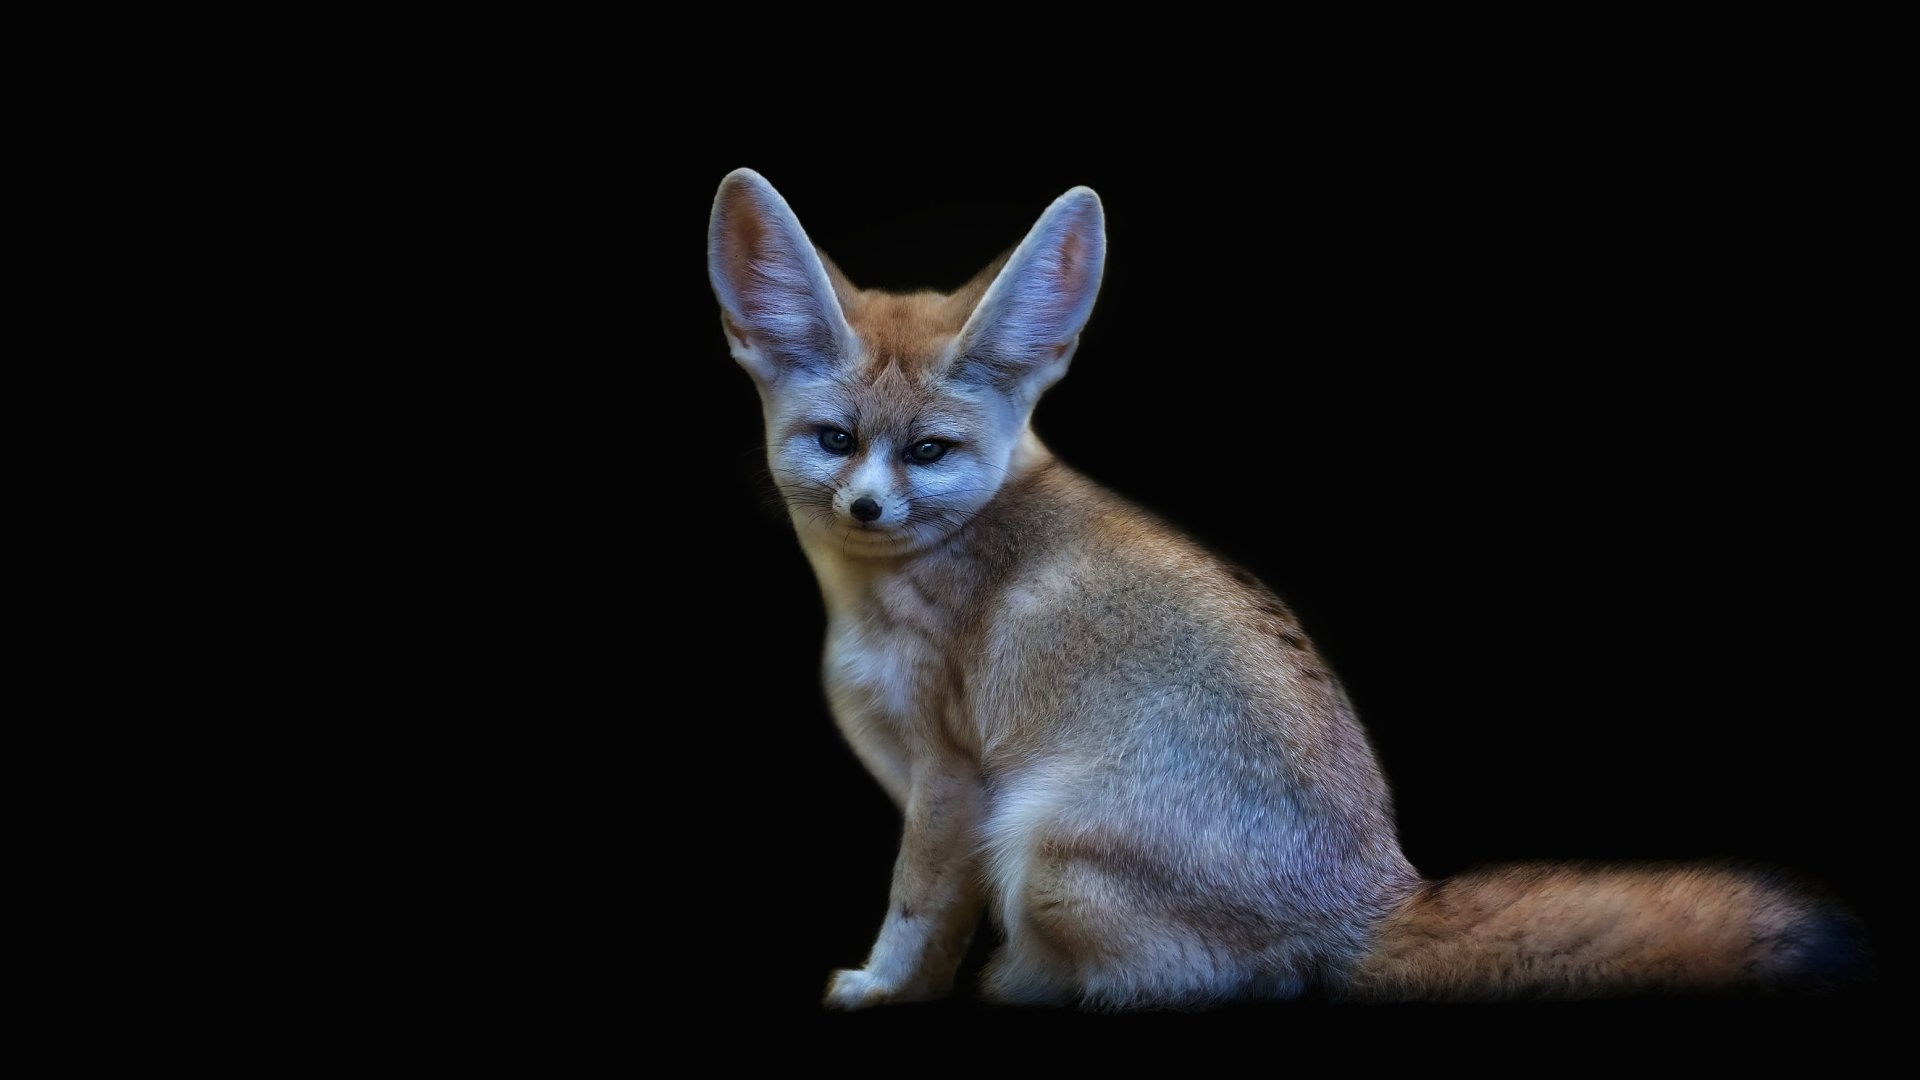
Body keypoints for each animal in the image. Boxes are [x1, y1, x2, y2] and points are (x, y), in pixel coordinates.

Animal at [706, 168, 1859, 1009]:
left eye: (931, 452)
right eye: (836, 442)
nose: (867, 508)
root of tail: (1374, 896)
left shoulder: (951, 788)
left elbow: (916, 911)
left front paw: (884, 987)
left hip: (1041, 846)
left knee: (1193, 987)